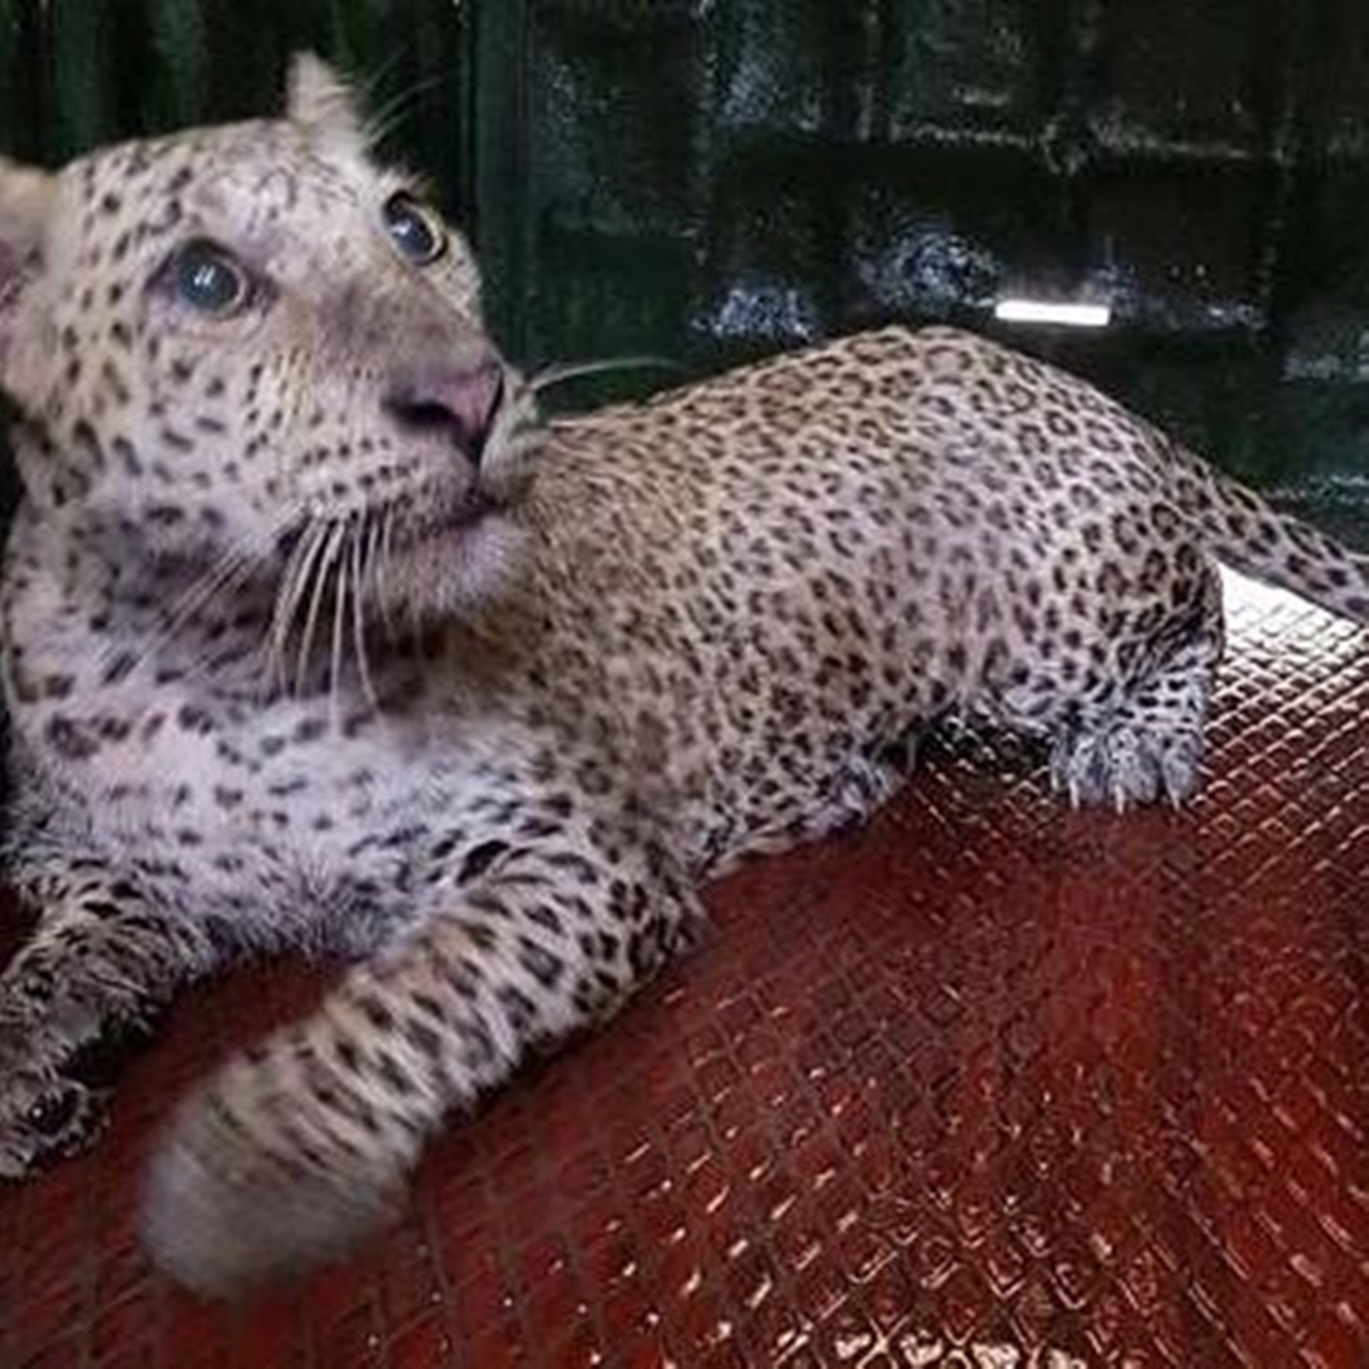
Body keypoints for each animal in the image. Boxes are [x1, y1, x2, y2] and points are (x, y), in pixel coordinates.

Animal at [0, 54, 1364, 1300]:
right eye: (205, 281)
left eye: (410, 228)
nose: (472, 393)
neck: (217, 654)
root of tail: (1075, 385)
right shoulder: (93, 863)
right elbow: (54, 957)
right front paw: (31, 1070)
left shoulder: (577, 860)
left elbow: (412, 998)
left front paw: (249, 1161)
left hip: (1047, 615)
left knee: (1196, 604)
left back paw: (1133, 741)